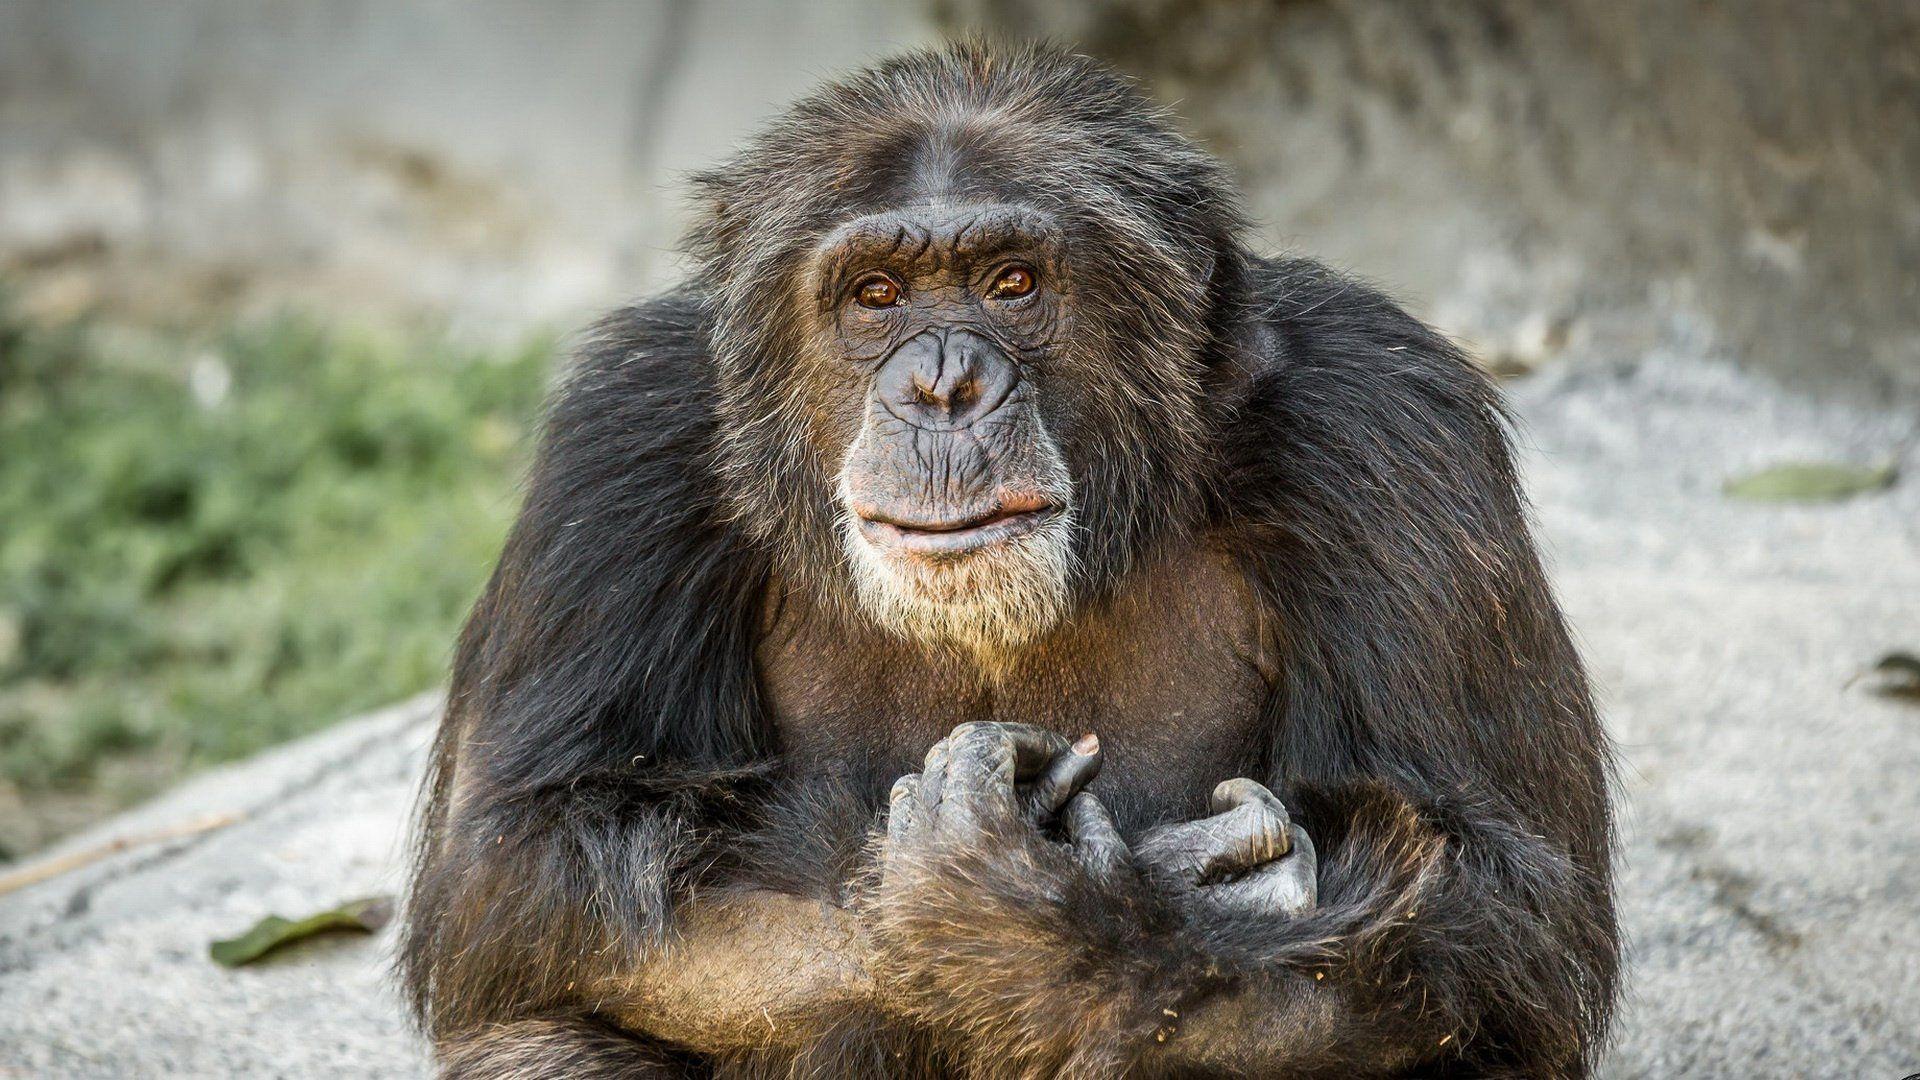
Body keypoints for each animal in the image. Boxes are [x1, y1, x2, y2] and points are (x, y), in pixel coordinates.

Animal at [402, 42, 1617, 1079]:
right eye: (876, 296)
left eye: (1012, 283)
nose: (943, 384)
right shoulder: (618, 450)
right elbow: (523, 853)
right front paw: (971, 882)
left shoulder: (1388, 423)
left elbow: (1501, 900)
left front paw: (1012, 910)